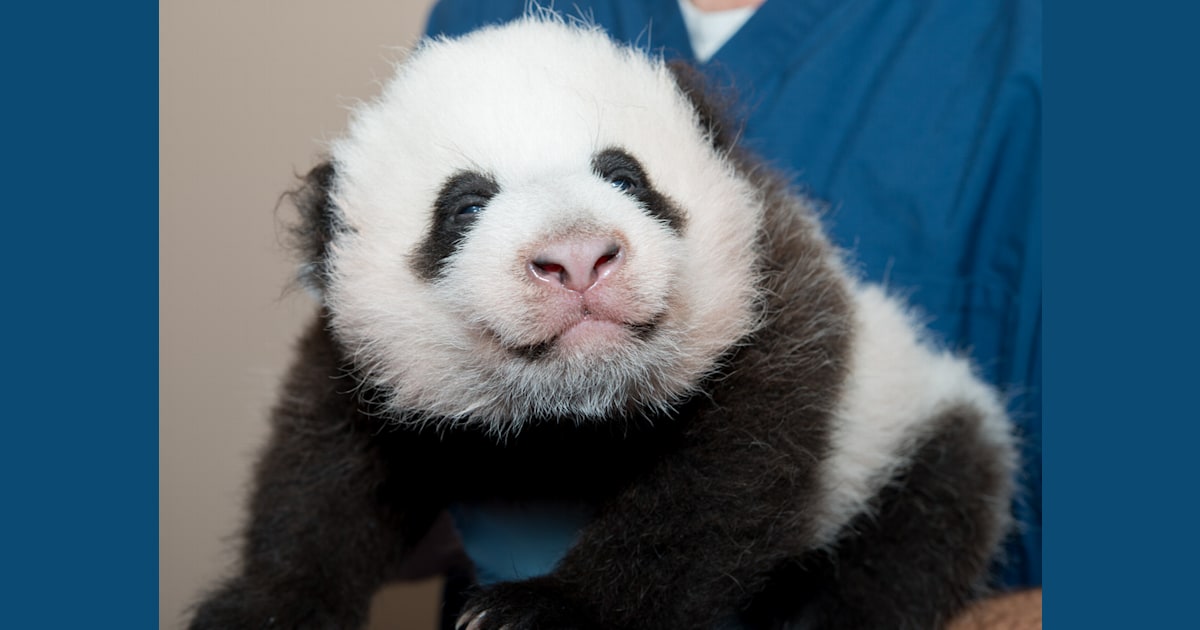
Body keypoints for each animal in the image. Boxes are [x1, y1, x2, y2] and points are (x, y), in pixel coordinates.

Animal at [191, 15, 1017, 630]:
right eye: (465, 205)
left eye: (624, 174)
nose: (579, 258)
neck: (576, 412)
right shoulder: (361, 352)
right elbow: (321, 475)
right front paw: (265, 603)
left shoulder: (778, 299)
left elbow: (722, 481)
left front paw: (547, 610)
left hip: (911, 421)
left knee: (918, 533)